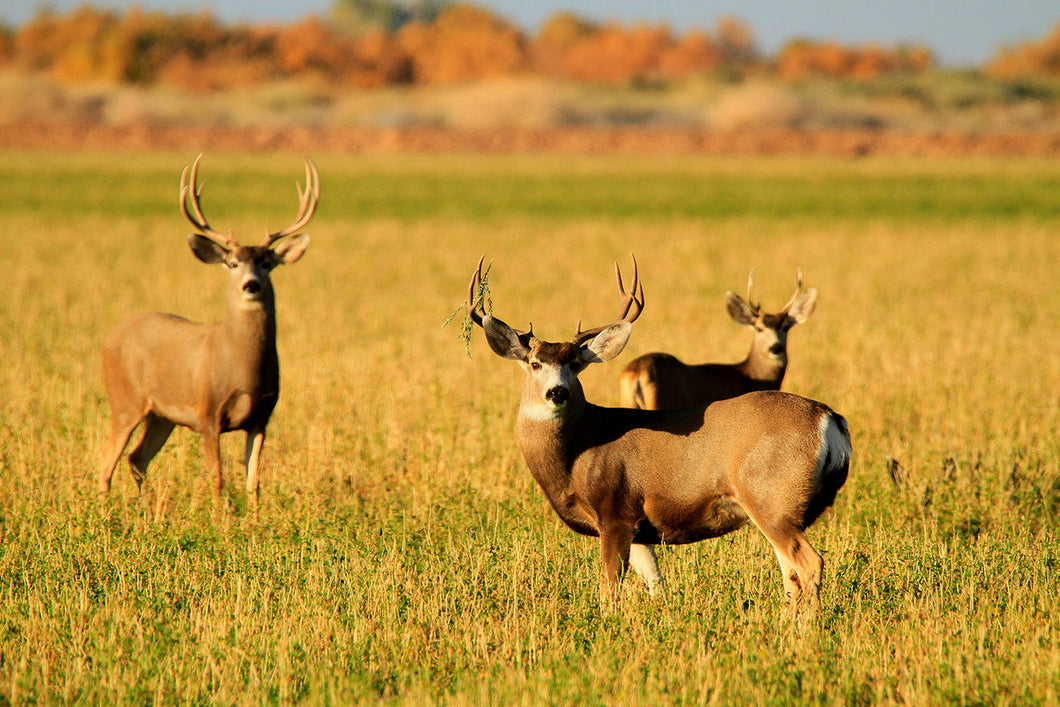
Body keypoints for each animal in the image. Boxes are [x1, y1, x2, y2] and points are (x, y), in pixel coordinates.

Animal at [98, 154, 318, 508]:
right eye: (232, 263)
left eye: (267, 263)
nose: (250, 285)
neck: (242, 367)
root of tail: (112, 335)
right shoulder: (208, 413)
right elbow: (217, 480)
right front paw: (219, 518)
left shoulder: (262, 418)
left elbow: (253, 483)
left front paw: (254, 518)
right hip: (124, 400)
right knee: (107, 460)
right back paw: (104, 513)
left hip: (161, 415)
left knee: (137, 458)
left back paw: (143, 509)